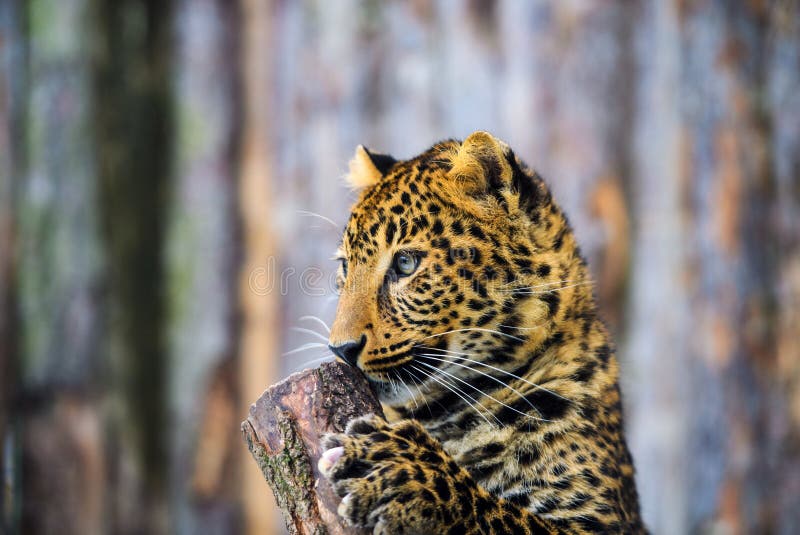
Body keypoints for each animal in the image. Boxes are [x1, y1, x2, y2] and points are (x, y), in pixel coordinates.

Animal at [319, 131, 645, 534]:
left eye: (406, 263)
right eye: (345, 267)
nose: (341, 350)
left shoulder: (598, 522)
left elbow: (497, 513)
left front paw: (403, 471)